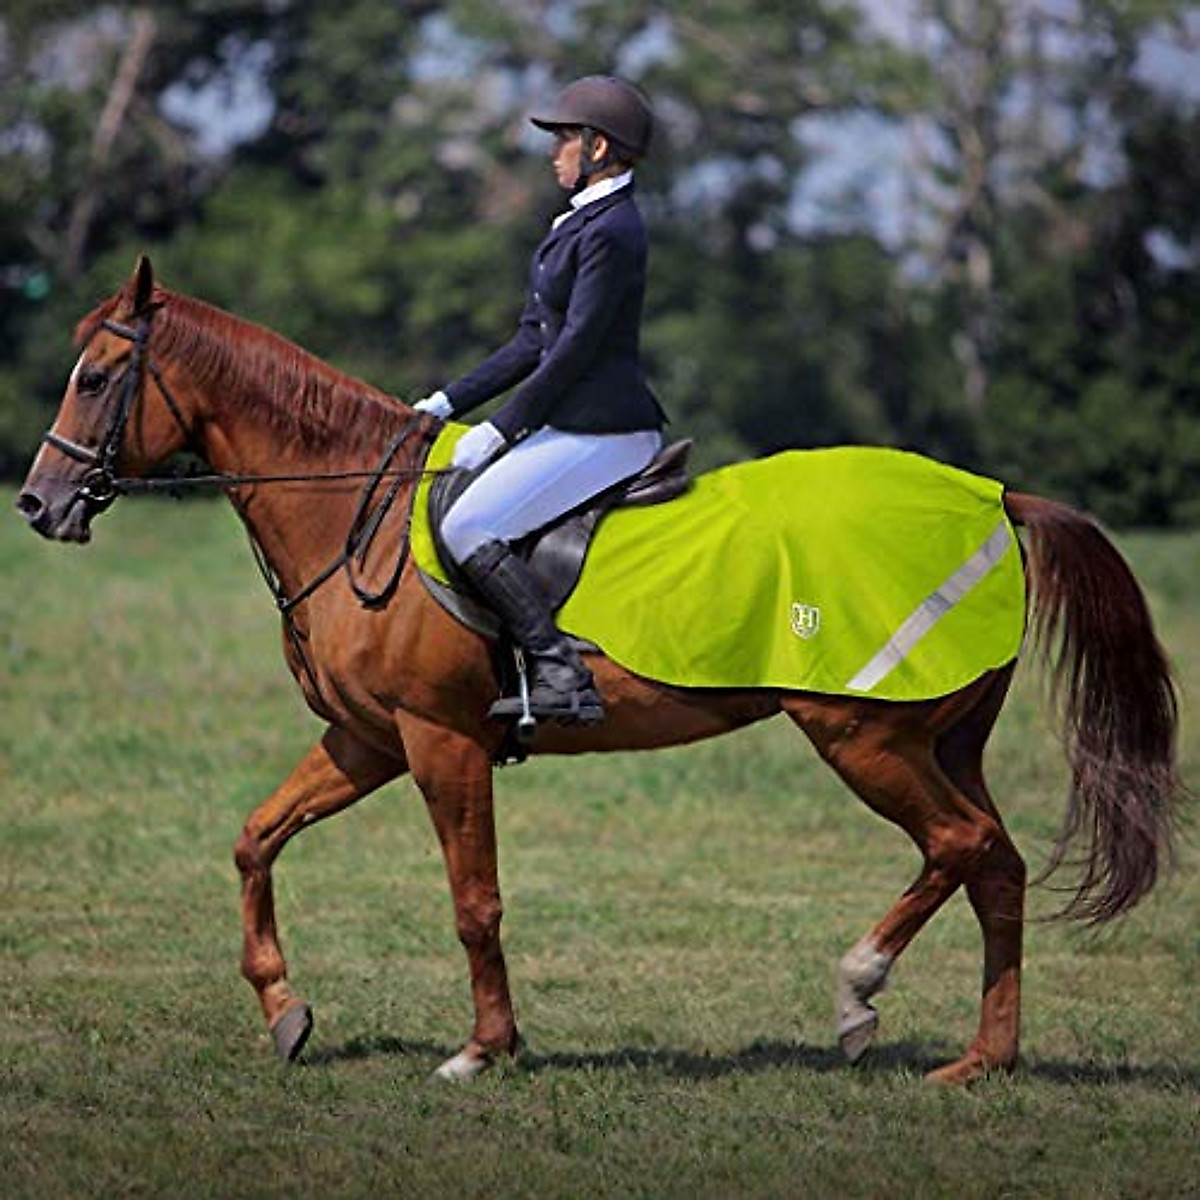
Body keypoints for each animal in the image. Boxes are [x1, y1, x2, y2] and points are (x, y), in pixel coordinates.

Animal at [16, 257, 1184, 1085]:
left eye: (97, 378)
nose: (38, 505)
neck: (355, 510)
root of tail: (989, 496)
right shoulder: (366, 739)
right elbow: (255, 840)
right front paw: (286, 1012)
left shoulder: (441, 742)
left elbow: (474, 900)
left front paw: (484, 1049)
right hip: (945, 737)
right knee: (997, 867)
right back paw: (983, 1061)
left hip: (864, 734)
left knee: (961, 845)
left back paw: (860, 993)